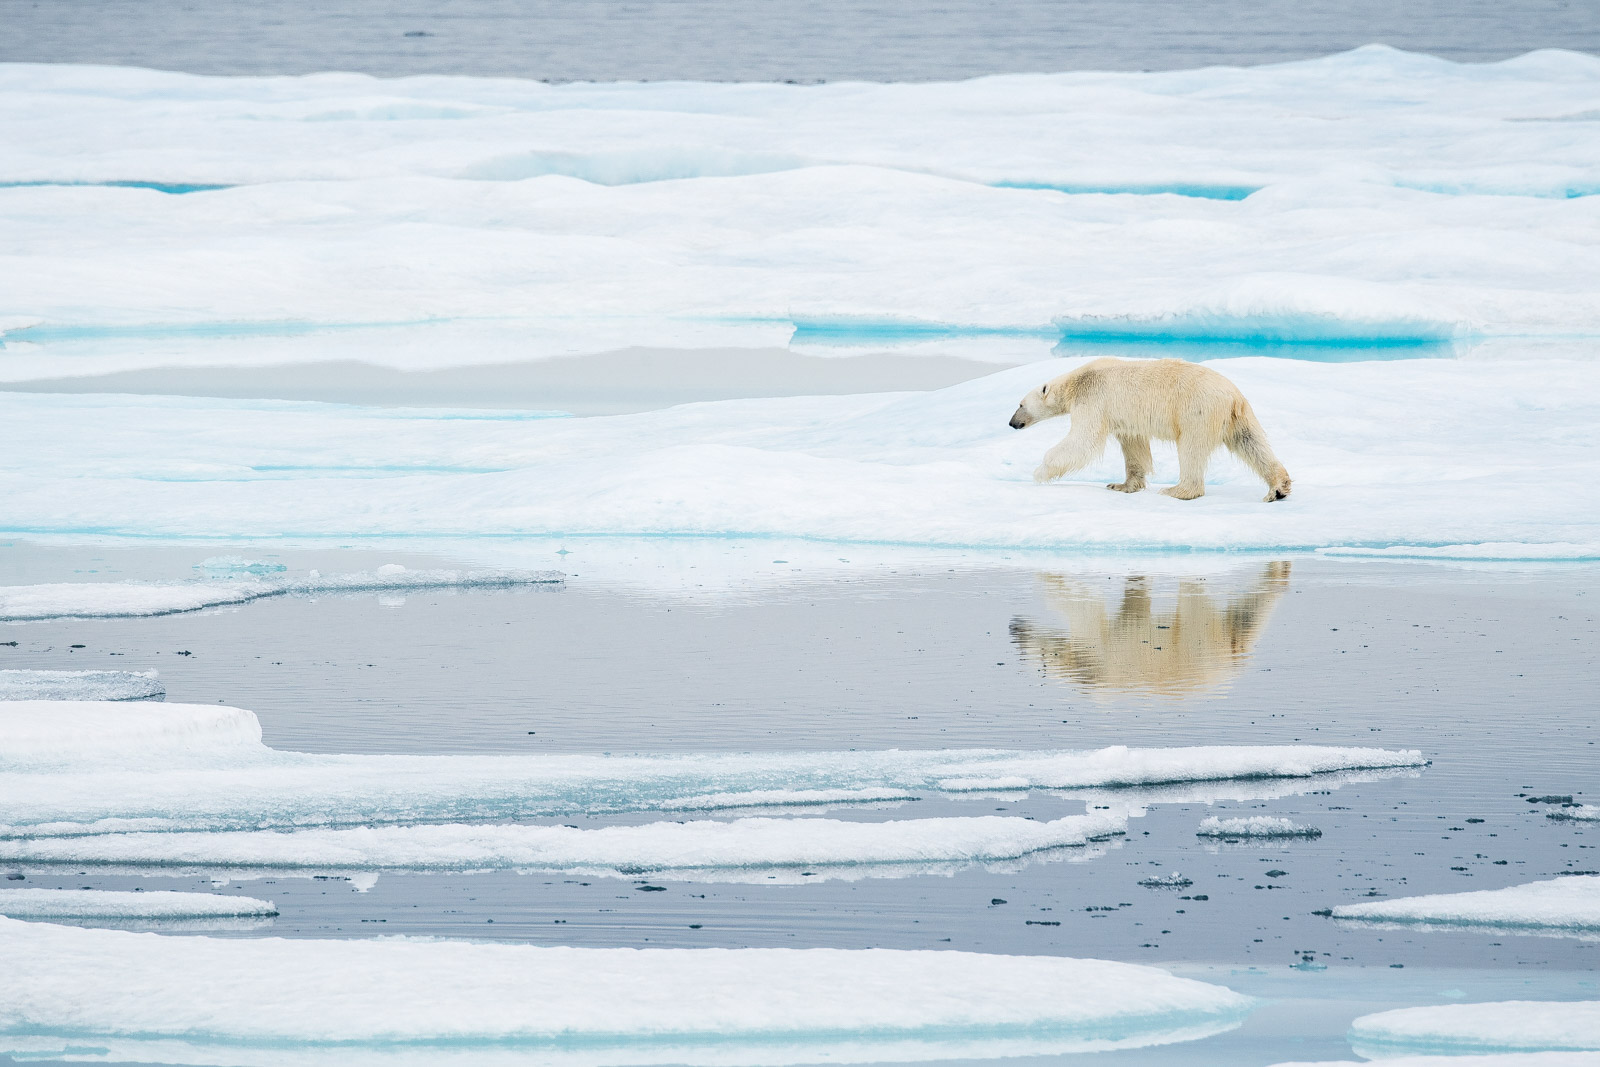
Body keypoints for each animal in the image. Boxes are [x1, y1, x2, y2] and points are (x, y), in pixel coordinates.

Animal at [1008, 357, 1292, 502]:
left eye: (1020, 404)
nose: (1012, 423)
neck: (1077, 381)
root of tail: (1233, 395)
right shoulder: (1124, 416)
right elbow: (1134, 445)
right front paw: (1121, 485)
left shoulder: (1093, 399)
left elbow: (1083, 440)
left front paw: (1039, 472)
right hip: (1237, 417)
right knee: (1252, 443)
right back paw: (1278, 488)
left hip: (1196, 410)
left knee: (1191, 448)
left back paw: (1178, 490)